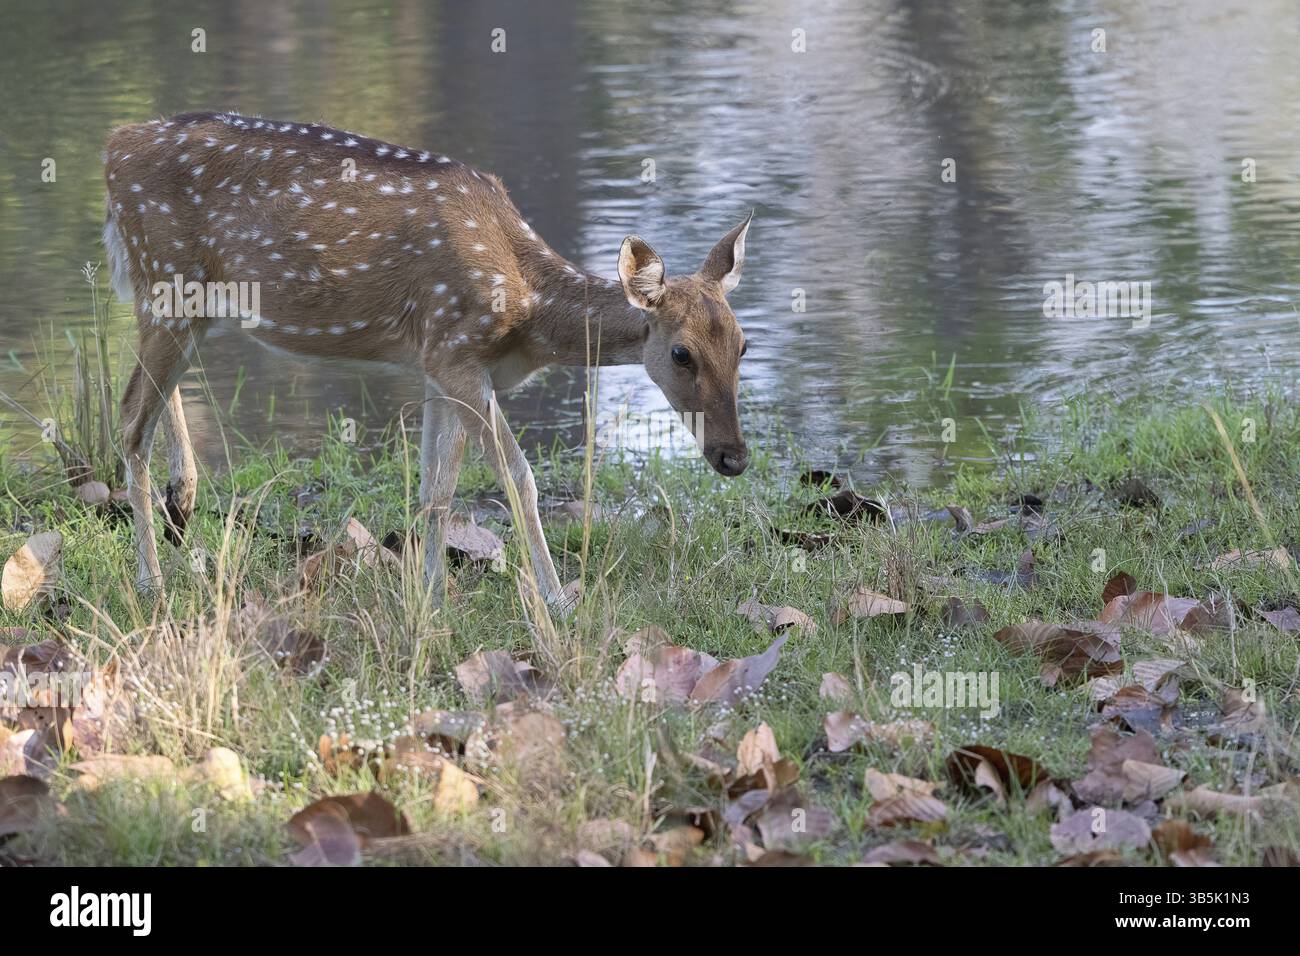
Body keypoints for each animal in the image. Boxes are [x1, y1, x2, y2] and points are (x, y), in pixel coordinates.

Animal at [102, 111, 752, 609]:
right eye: (680, 352)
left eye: (743, 345)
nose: (734, 456)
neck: (527, 310)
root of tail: (114, 150)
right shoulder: (457, 349)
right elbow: (517, 476)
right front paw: (557, 601)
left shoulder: (441, 364)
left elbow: (436, 490)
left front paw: (431, 599)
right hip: (166, 282)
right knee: (130, 417)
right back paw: (151, 582)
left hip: (184, 304)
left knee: (154, 396)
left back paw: (182, 500)